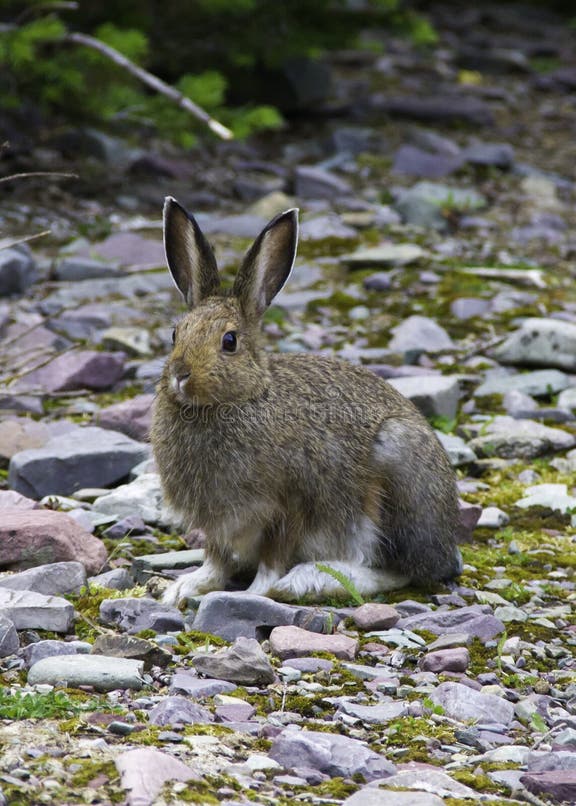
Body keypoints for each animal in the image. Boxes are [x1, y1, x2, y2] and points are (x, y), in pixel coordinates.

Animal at [152, 197, 462, 606]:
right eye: (175, 334)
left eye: (229, 341)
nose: (181, 373)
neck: (244, 397)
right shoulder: (216, 523)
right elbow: (216, 560)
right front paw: (185, 587)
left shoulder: (289, 506)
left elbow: (272, 559)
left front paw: (257, 593)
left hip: (398, 475)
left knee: (400, 570)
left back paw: (312, 579)